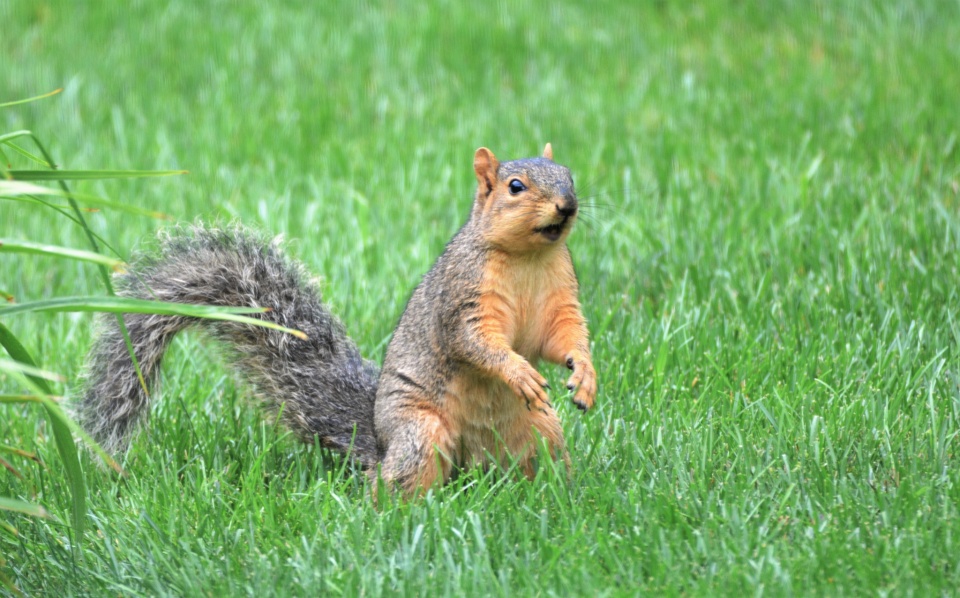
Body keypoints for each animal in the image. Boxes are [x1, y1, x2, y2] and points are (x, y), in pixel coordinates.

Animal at [79, 144, 597, 497]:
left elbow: (563, 336)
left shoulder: (560, 295)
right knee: (397, 481)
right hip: (419, 432)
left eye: (570, 176)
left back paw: (554, 496)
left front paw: (586, 375)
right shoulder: (462, 295)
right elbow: (474, 341)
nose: (568, 205)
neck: (528, 258)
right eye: (516, 187)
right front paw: (518, 372)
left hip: (539, 432)